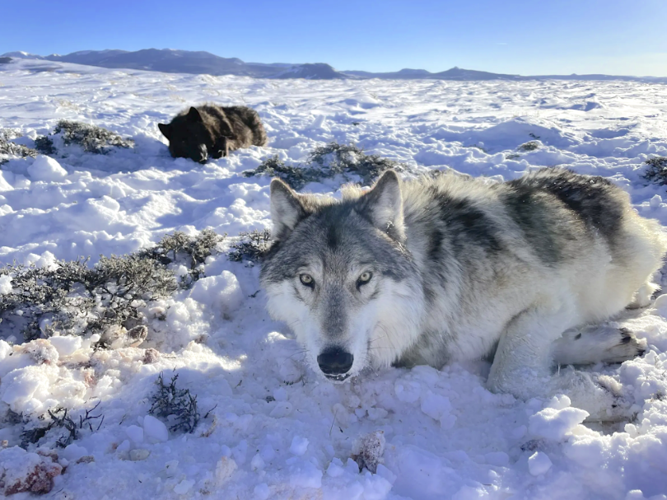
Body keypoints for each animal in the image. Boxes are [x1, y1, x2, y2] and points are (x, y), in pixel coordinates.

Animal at [260, 168, 667, 407]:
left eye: (363, 278)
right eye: (306, 280)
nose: (333, 362)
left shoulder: (552, 299)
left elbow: (506, 375)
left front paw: (597, 399)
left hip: (638, 256)